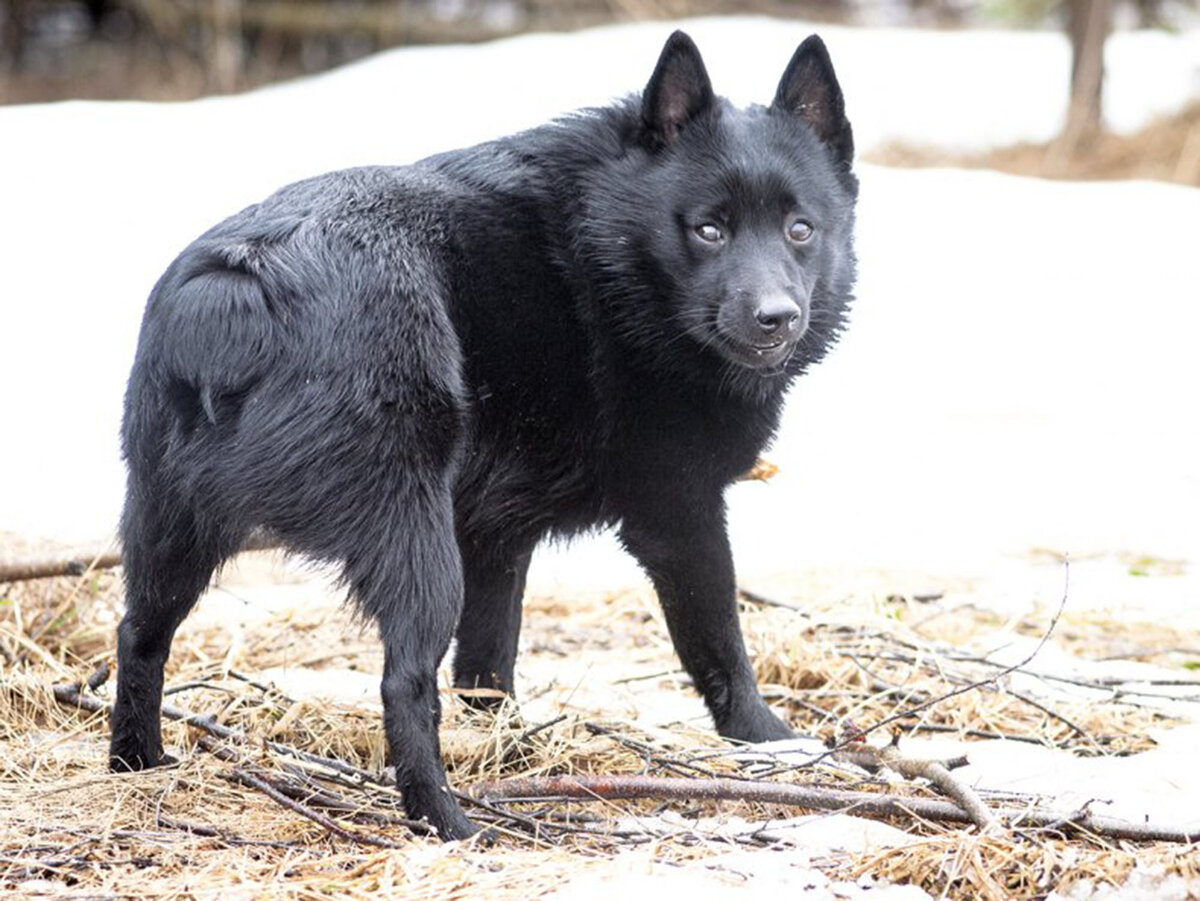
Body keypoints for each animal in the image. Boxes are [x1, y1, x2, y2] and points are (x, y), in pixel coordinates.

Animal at [110, 31, 854, 844]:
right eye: (709, 229)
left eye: (801, 229)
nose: (776, 317)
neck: (609, 250)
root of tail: (241, 288)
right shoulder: (676, 516)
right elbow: (718, 639)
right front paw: (770, 741)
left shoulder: (497, 539)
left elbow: (486, 666)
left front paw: (506, 743)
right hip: (413, 538)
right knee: (403, 681)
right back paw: (448, 822)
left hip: (169, 525)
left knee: (138, 635)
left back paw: (137, 766)